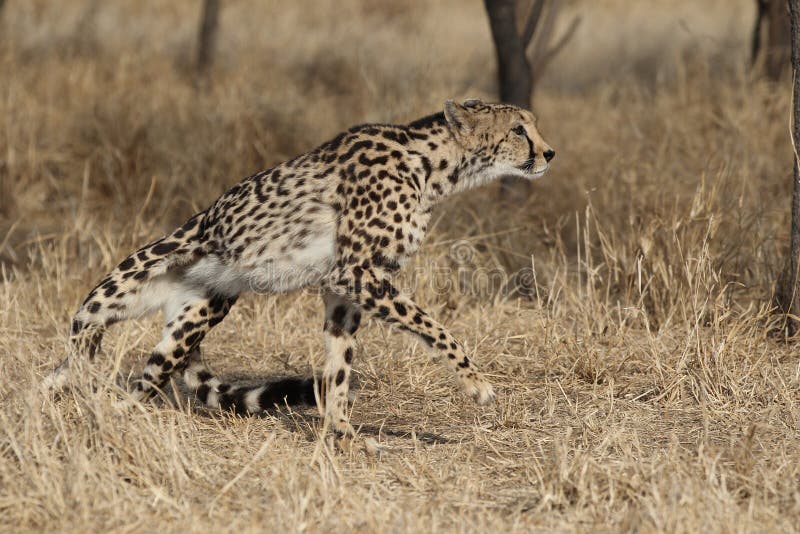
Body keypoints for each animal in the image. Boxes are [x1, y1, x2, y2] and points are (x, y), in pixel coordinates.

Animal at [43, 99, 555, 438]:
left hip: (192, 320)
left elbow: (339, 366)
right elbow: (436, 328)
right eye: (518, 129)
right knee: (79, 341)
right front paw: (476, 384)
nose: (549, 153)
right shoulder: (355, 274)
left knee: (145, 379)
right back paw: (65, 391)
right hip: (116, 289)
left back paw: (103, 409)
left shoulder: (345, 288)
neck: (433, 166)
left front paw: (342, 434)